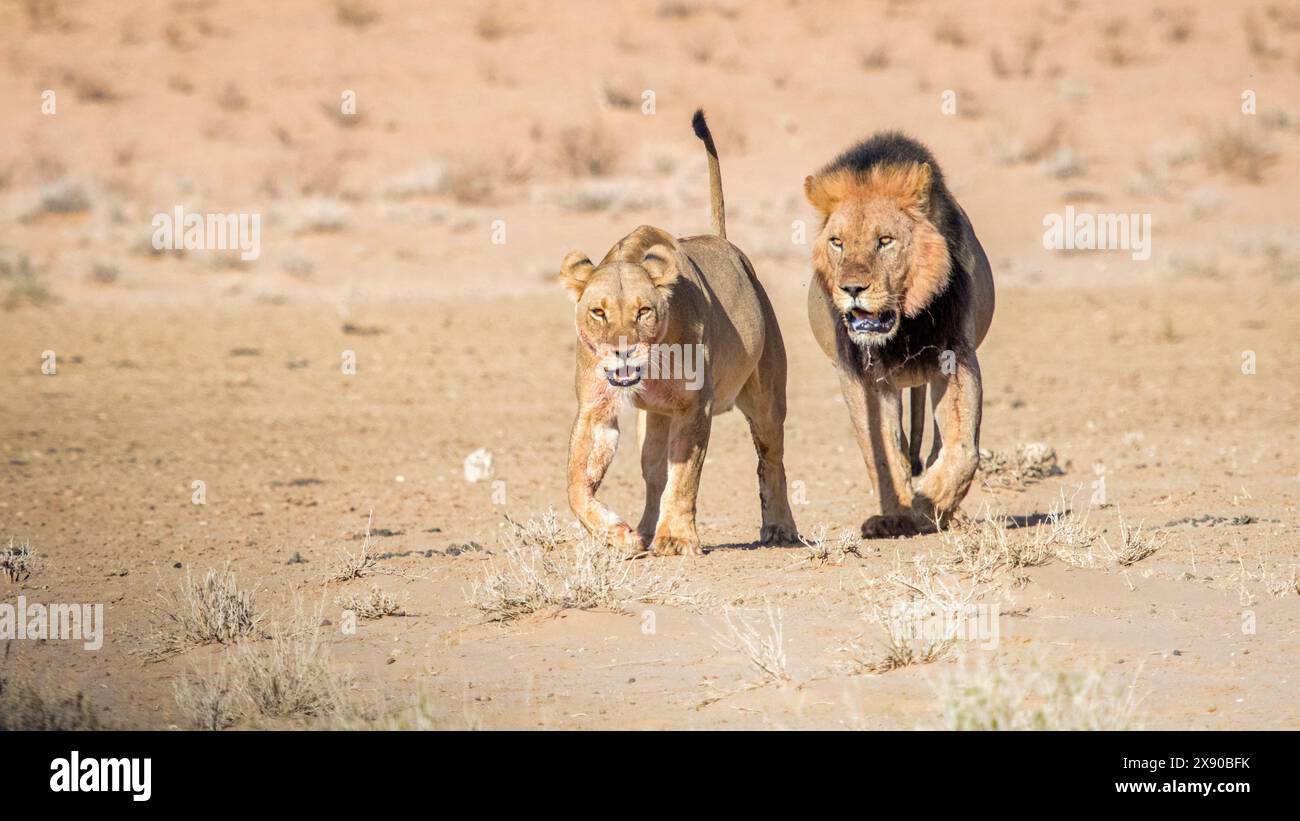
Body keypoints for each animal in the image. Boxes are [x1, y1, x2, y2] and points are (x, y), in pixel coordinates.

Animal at [558, 110, 798, 556]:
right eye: (598, 312)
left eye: (644, 312)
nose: (623, 352)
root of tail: (724, 242)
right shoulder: (595, 409)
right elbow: (577, 485)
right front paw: (619, 534)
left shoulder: (694, 406)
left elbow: (684, 476)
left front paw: (676, 538)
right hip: (652, 419)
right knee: (653, 473)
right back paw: (645, 529)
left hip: (767, 398)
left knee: (771, 460)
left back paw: (779, 528)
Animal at [803, 132, 995, 538]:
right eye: (837, 242)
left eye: (885, 240)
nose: (852, 288)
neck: (901, 327)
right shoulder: (863, 377)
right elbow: (882, 454)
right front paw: (895, 516)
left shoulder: (955, 357)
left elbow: (964, 449)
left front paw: (931, 501)